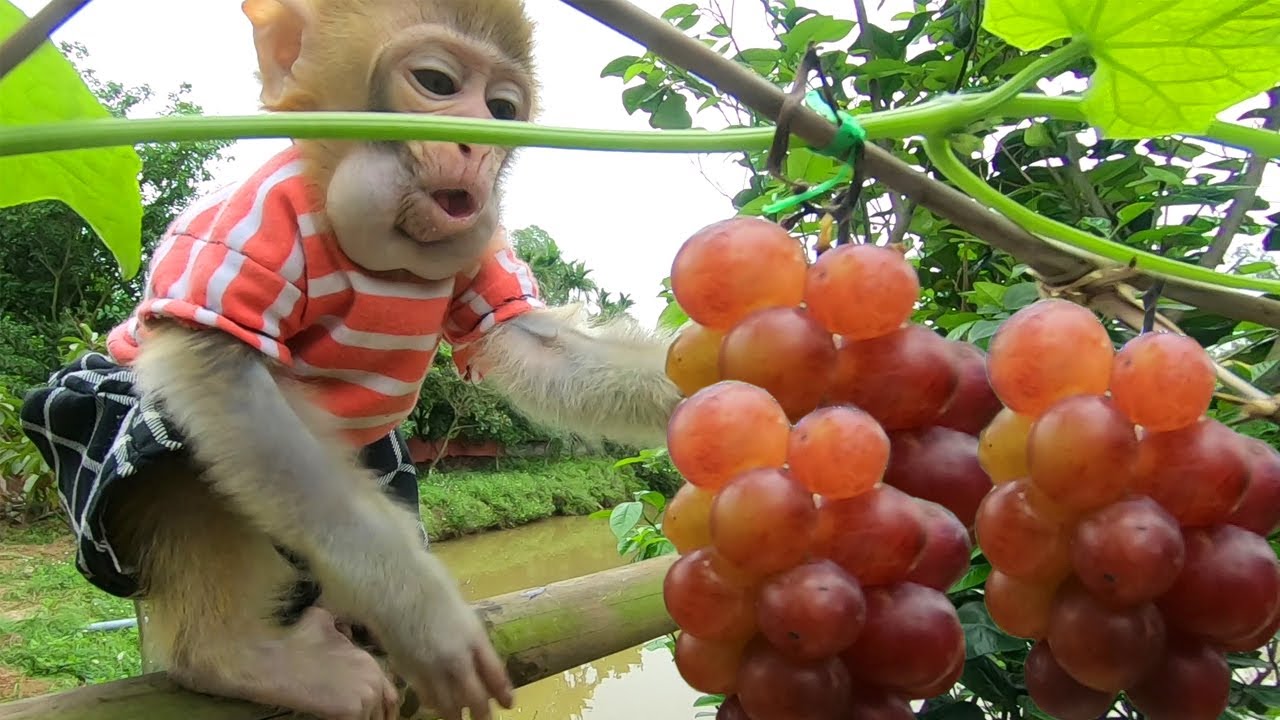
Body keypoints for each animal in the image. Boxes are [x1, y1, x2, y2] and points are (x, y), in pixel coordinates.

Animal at [18, 2, 682, 719]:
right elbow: (218, 370)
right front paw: (423, 617)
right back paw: (231, 656)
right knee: (169, 438)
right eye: (436, 83)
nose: (476, 145)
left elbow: (529, 342)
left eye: (501, 109)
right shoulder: (251, 221)